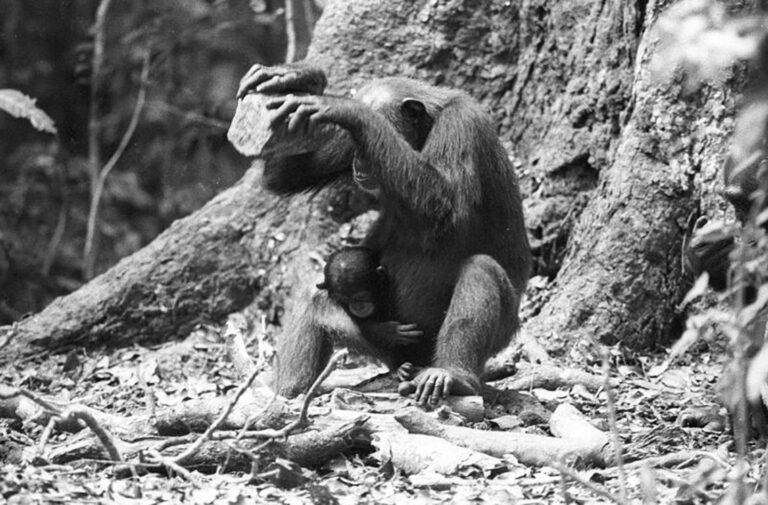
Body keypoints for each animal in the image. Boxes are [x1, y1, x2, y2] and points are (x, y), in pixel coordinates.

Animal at [237, 64, 532, 405]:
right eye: (354, 144)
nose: (357, 160)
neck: (427, 130)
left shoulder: (463, 126)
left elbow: (445, 209)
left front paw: (346, 108)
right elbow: (282, 176)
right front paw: (299, 77)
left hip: (500, 334)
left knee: (480, 269)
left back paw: (453, 375)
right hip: (394, 354)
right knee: (316, 295)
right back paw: (292, 391)